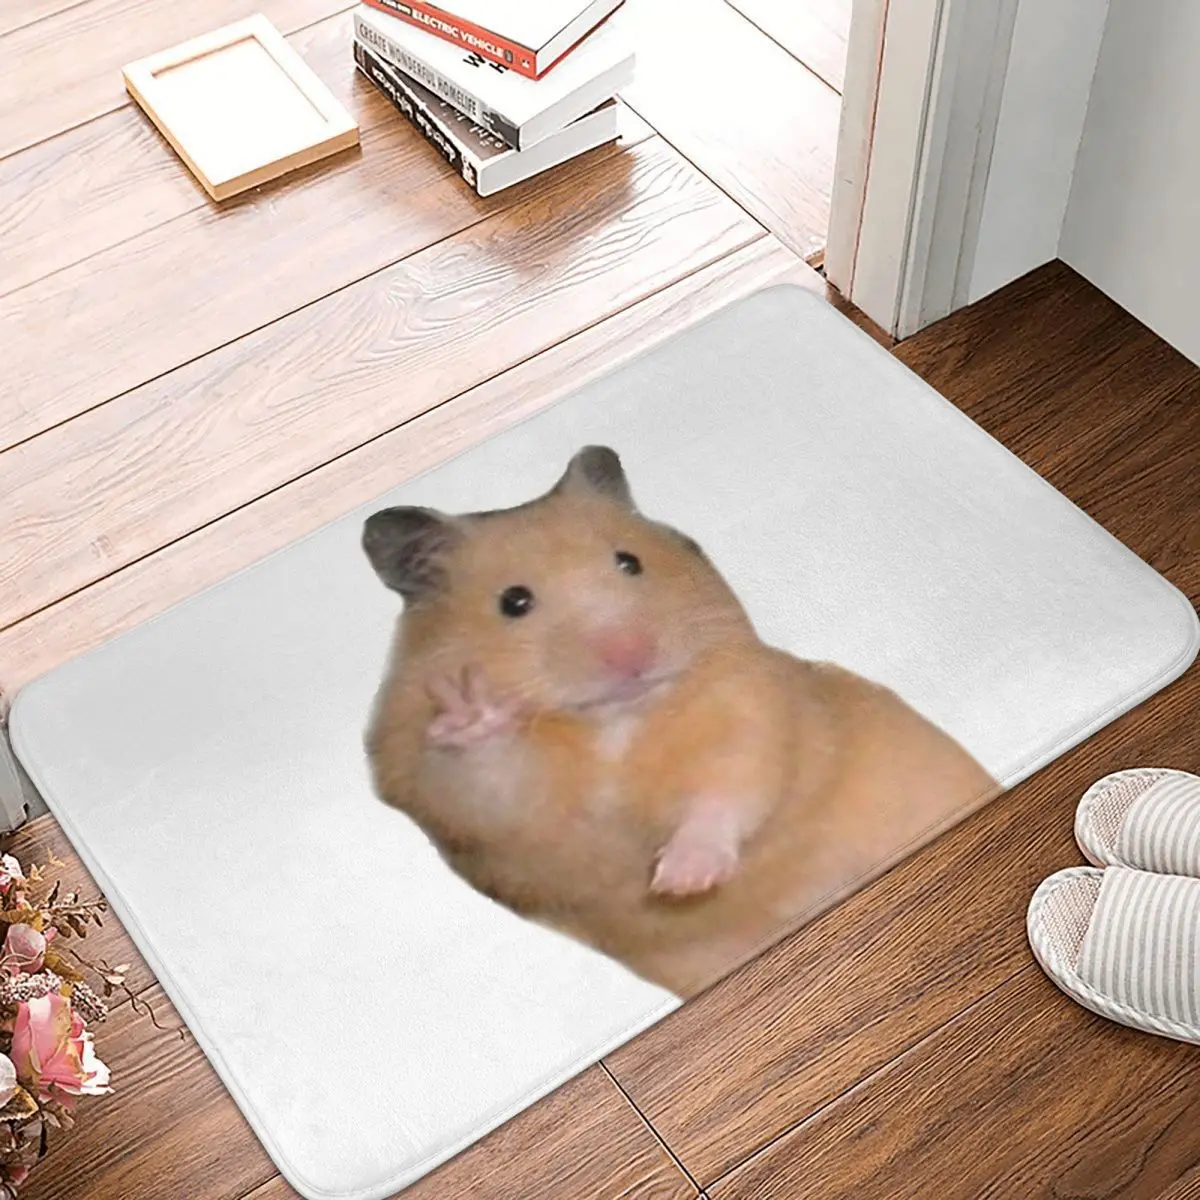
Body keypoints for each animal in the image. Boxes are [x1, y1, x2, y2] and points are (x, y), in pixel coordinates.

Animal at [361, 446, 999, 998]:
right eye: (513, 602)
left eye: (630, 562)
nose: (632, 654)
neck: (616, 724)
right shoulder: (485, 820)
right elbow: (483, 778)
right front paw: (472, 709)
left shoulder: (749, 712)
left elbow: (728, 790)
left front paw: (680, 879)